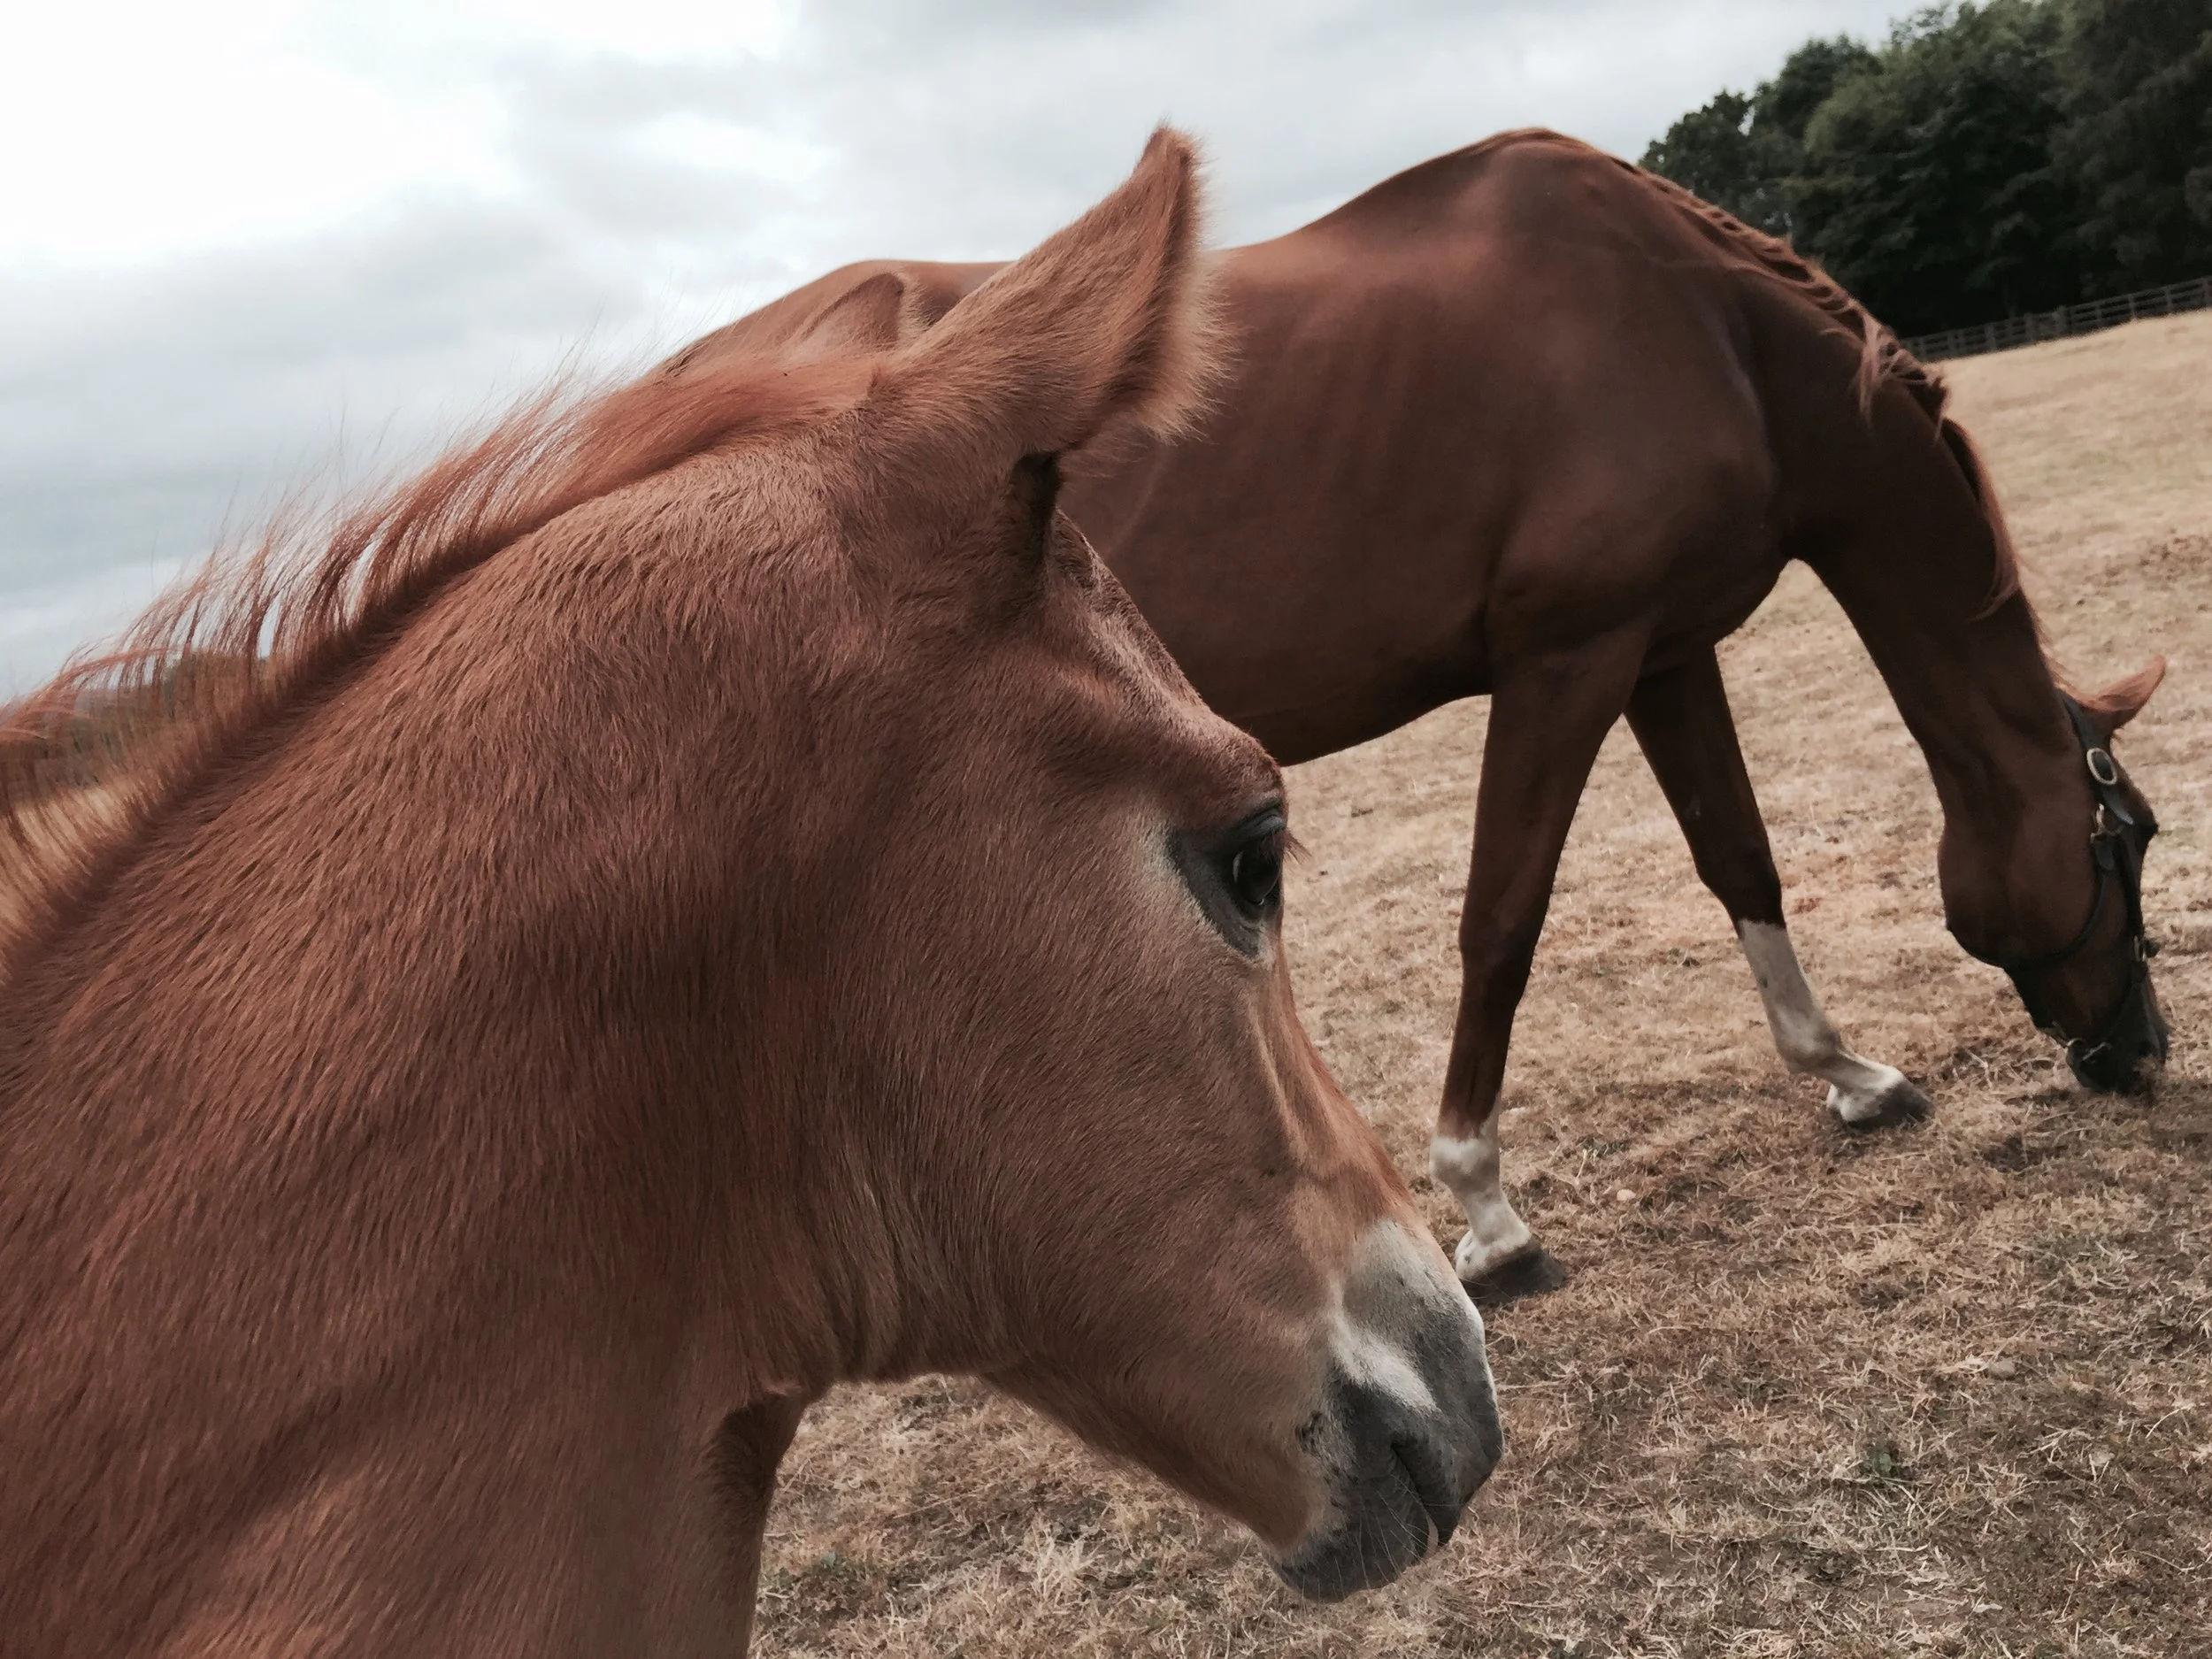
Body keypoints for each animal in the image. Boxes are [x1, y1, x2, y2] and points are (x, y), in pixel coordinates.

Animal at [668, 128, 2172, 1299]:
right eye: (2131, 838)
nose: (2142, 1050)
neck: (1704, 333)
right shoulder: (1568, 660)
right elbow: (1502, 919)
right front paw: (1488, 1210)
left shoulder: (1665, 654)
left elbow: (1739, 861)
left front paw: (1850, 1069)